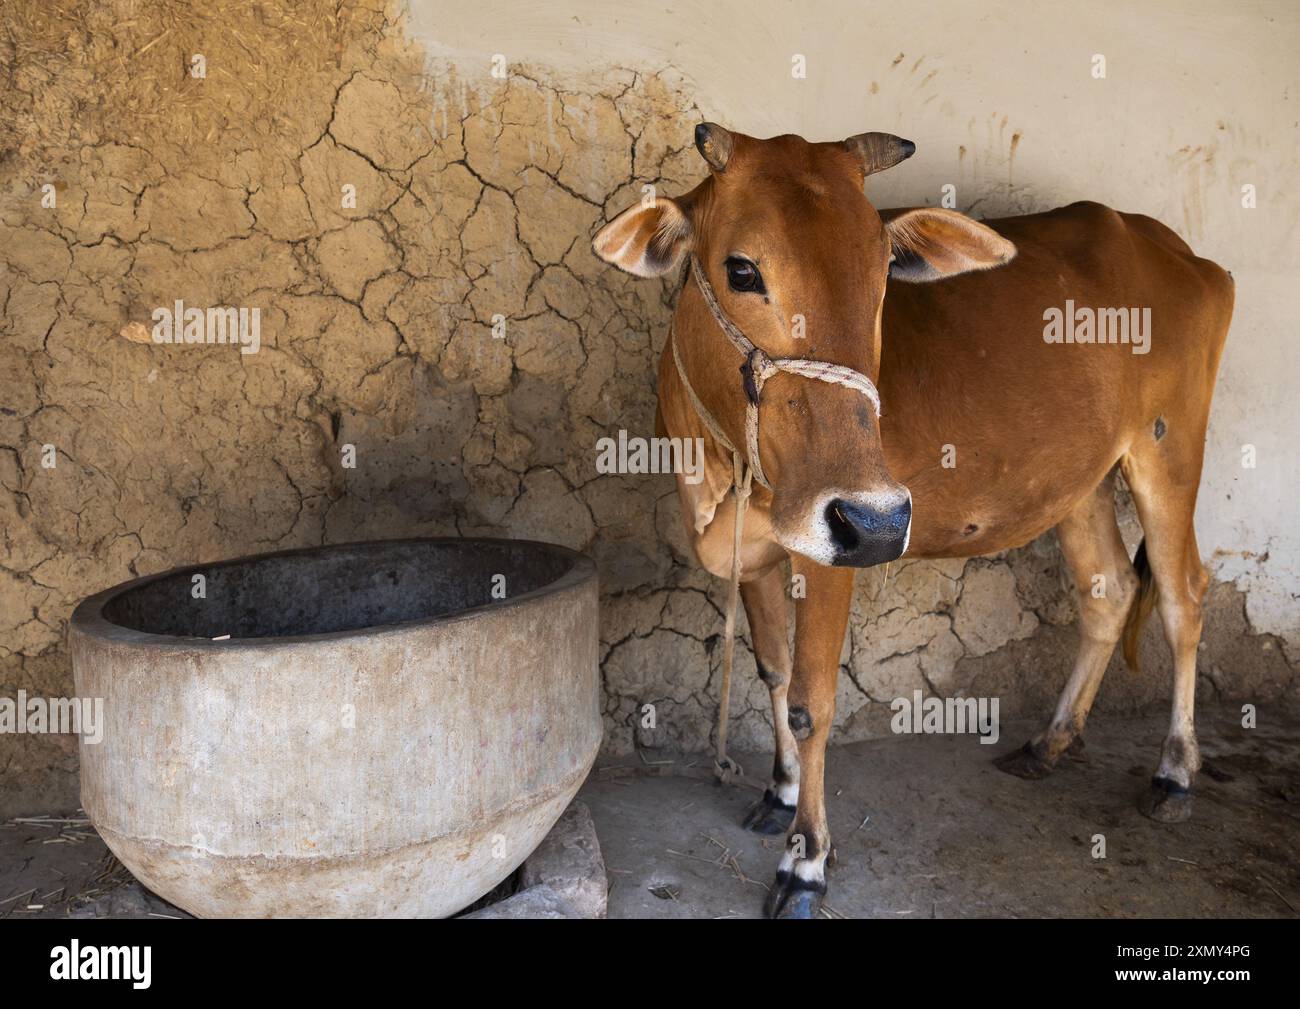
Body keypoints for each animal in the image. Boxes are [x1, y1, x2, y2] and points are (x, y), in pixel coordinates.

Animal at [591, 124, 1234, 918]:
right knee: (1110, 590)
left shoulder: (833, 553)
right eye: (741, 270)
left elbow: (810, 701)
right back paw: (1049, 743)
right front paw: (780, 791)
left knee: (1182, 596)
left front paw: (805, 861)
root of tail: (1177, 249)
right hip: (1080, 480)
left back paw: (1174, 772)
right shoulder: (760, 555)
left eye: (881, 277)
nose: (877, 519)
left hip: (1167, 446)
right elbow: (773, 672)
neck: (722, 464)